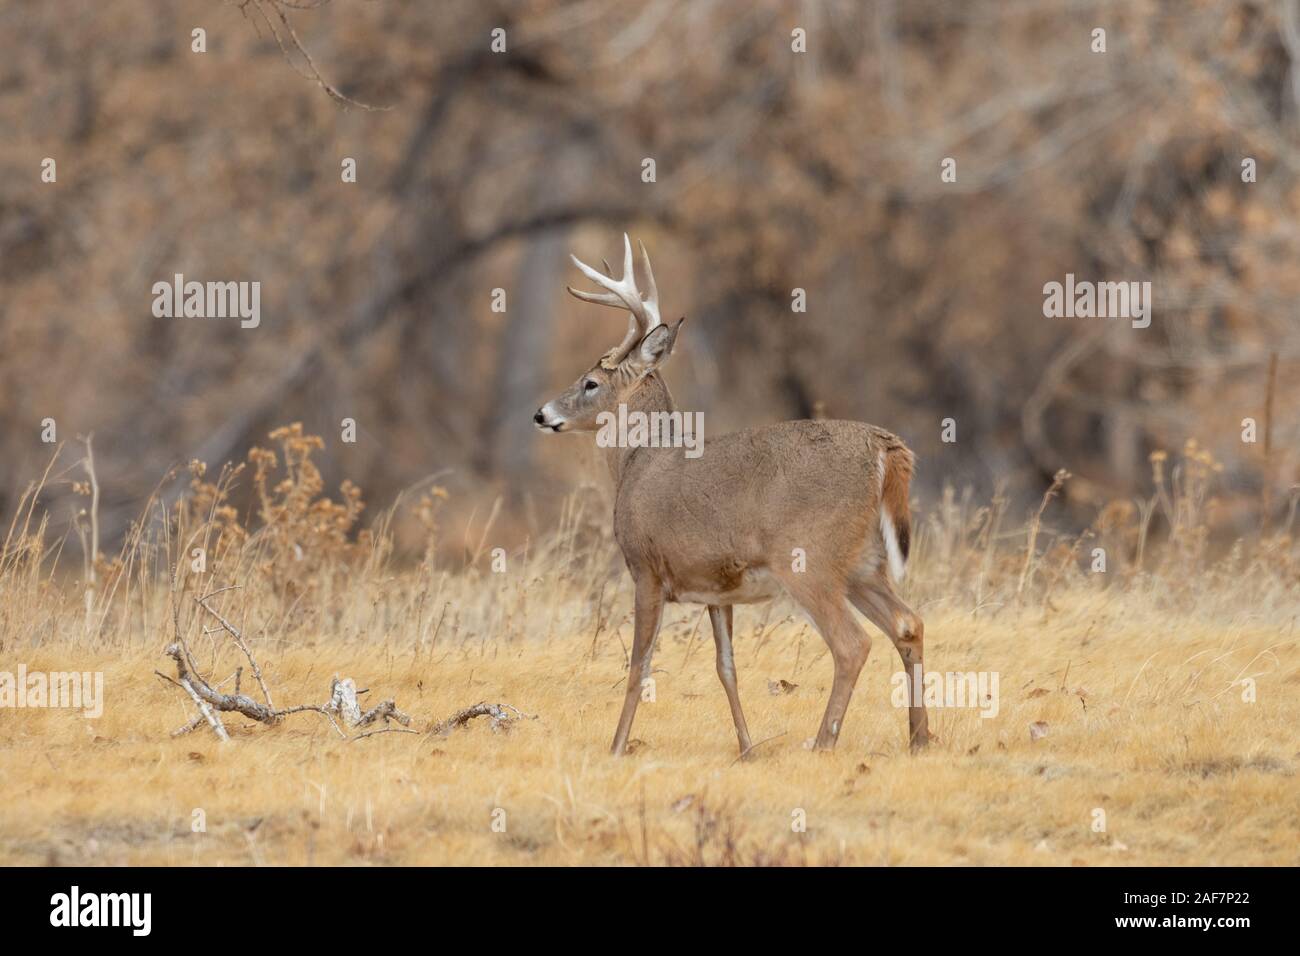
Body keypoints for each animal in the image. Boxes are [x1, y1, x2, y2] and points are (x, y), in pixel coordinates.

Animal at [533, 235, 928, 758]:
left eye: (590, 383)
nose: (541, 414)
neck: (638, 462)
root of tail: (886, 447)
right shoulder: (715, 587)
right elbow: (726, 667)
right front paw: (746, 748)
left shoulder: (646, 570)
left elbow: (639, 666)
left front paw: (616, 747)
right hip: (865, 563)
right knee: (908, 624)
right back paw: (920, 738)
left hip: (809, 559)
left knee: (852, 644)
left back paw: (823, 742)